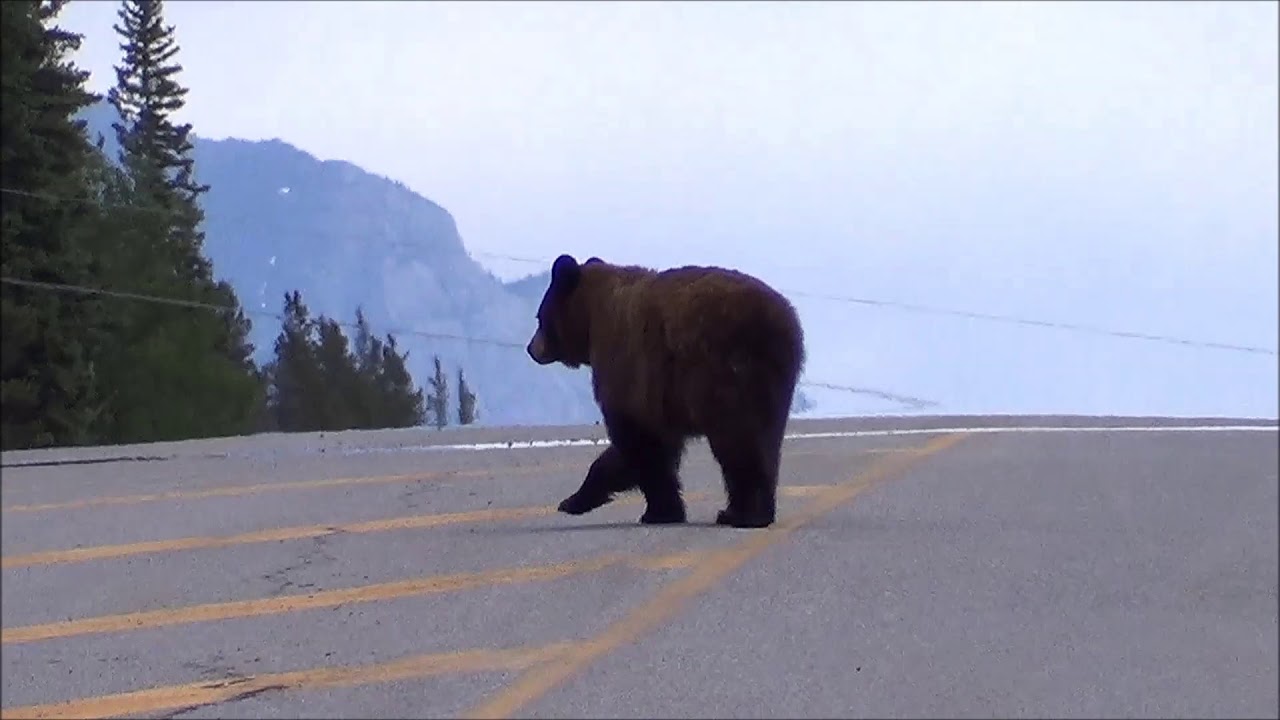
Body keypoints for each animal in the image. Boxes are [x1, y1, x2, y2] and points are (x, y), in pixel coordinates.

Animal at [525, 253, 806, 528]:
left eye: (539, 317)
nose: (531, 348)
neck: (591, 321)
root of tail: (779, 323)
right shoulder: (658, 396)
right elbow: (656, 444)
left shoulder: (627, 370)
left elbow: (639, 445)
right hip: (775, 383)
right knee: (766, 442)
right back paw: (756, 511)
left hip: (726, 376)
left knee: (738, 441)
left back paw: (741, 515)